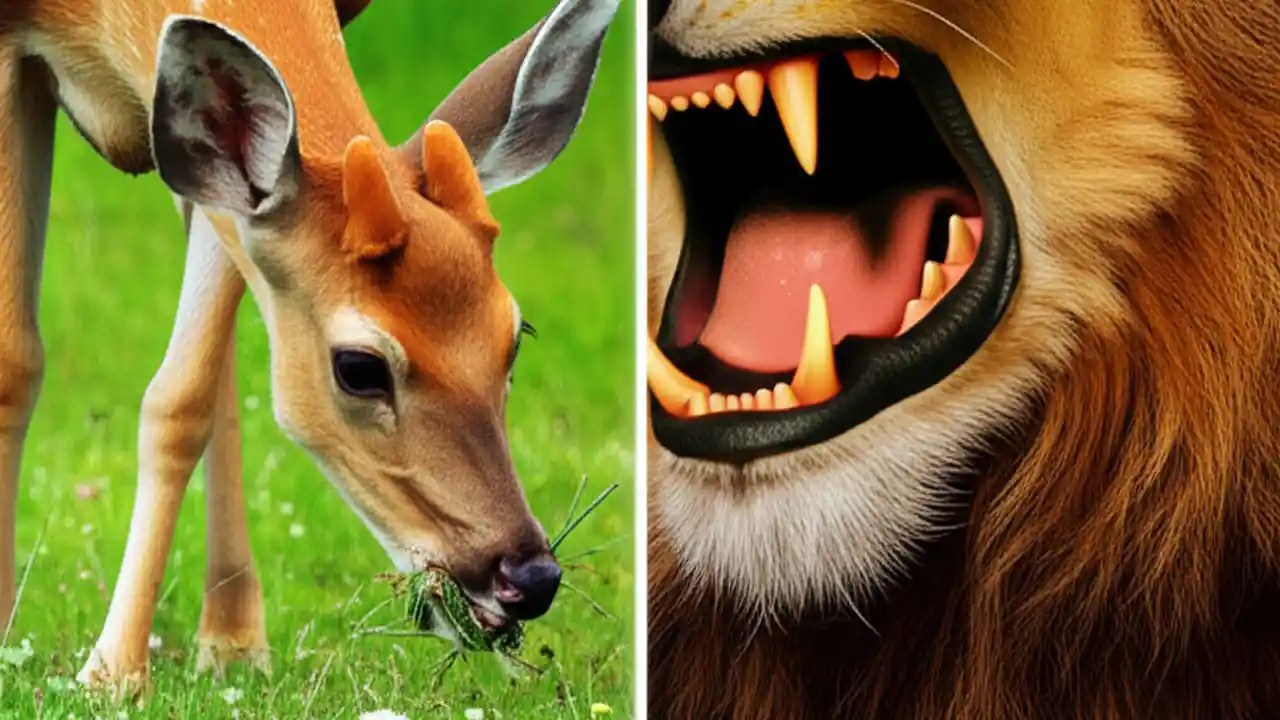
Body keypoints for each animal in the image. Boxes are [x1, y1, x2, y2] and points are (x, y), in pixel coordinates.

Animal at [0, 0, 619, 693]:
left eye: (516, 337)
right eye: (359, 367)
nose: (529, 577)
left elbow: (185, 395)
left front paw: (124, 669)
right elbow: (14, 360)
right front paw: (100, 669)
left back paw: (234, 640)